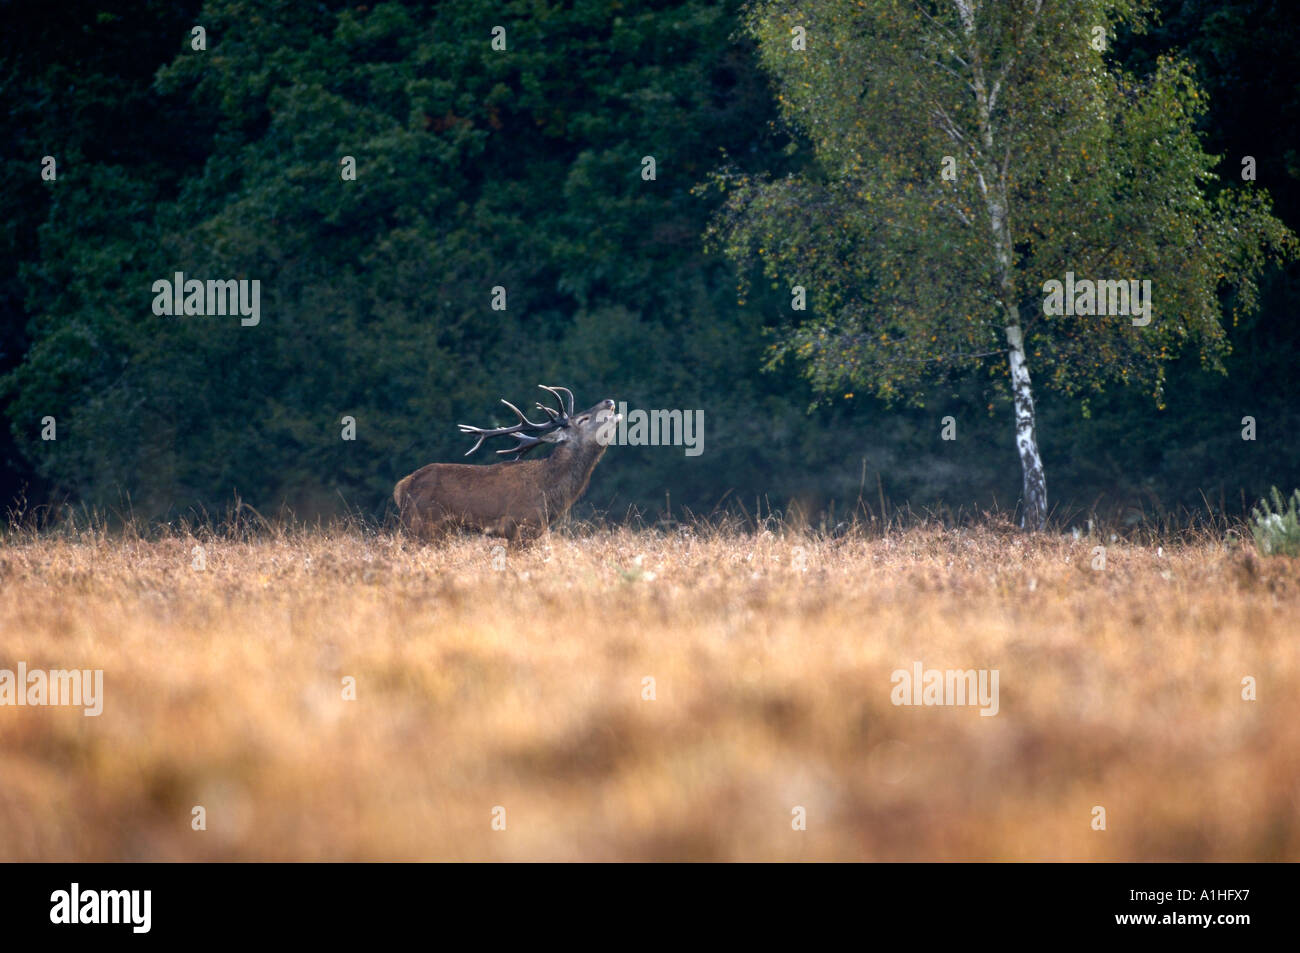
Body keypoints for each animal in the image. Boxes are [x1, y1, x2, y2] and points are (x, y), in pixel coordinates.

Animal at [393, 385, 621, 541]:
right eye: (583, 419)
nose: (609, 401)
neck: (549, 492)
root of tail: (401, 487)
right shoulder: (520, 526)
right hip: (423, 525)